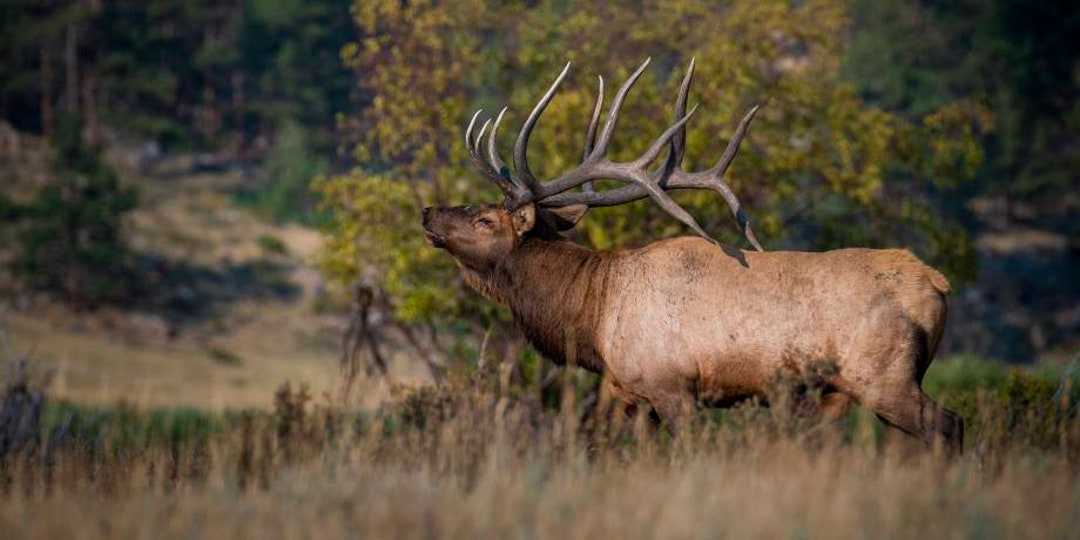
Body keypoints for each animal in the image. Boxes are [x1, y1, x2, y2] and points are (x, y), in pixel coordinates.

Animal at [421, 58, 964, 453]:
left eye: (485, 220)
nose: (427, 212)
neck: (592, 314)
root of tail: (937, 284)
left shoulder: (672, 386)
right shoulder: (633, 397)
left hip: (883, 375)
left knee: (949, 424)